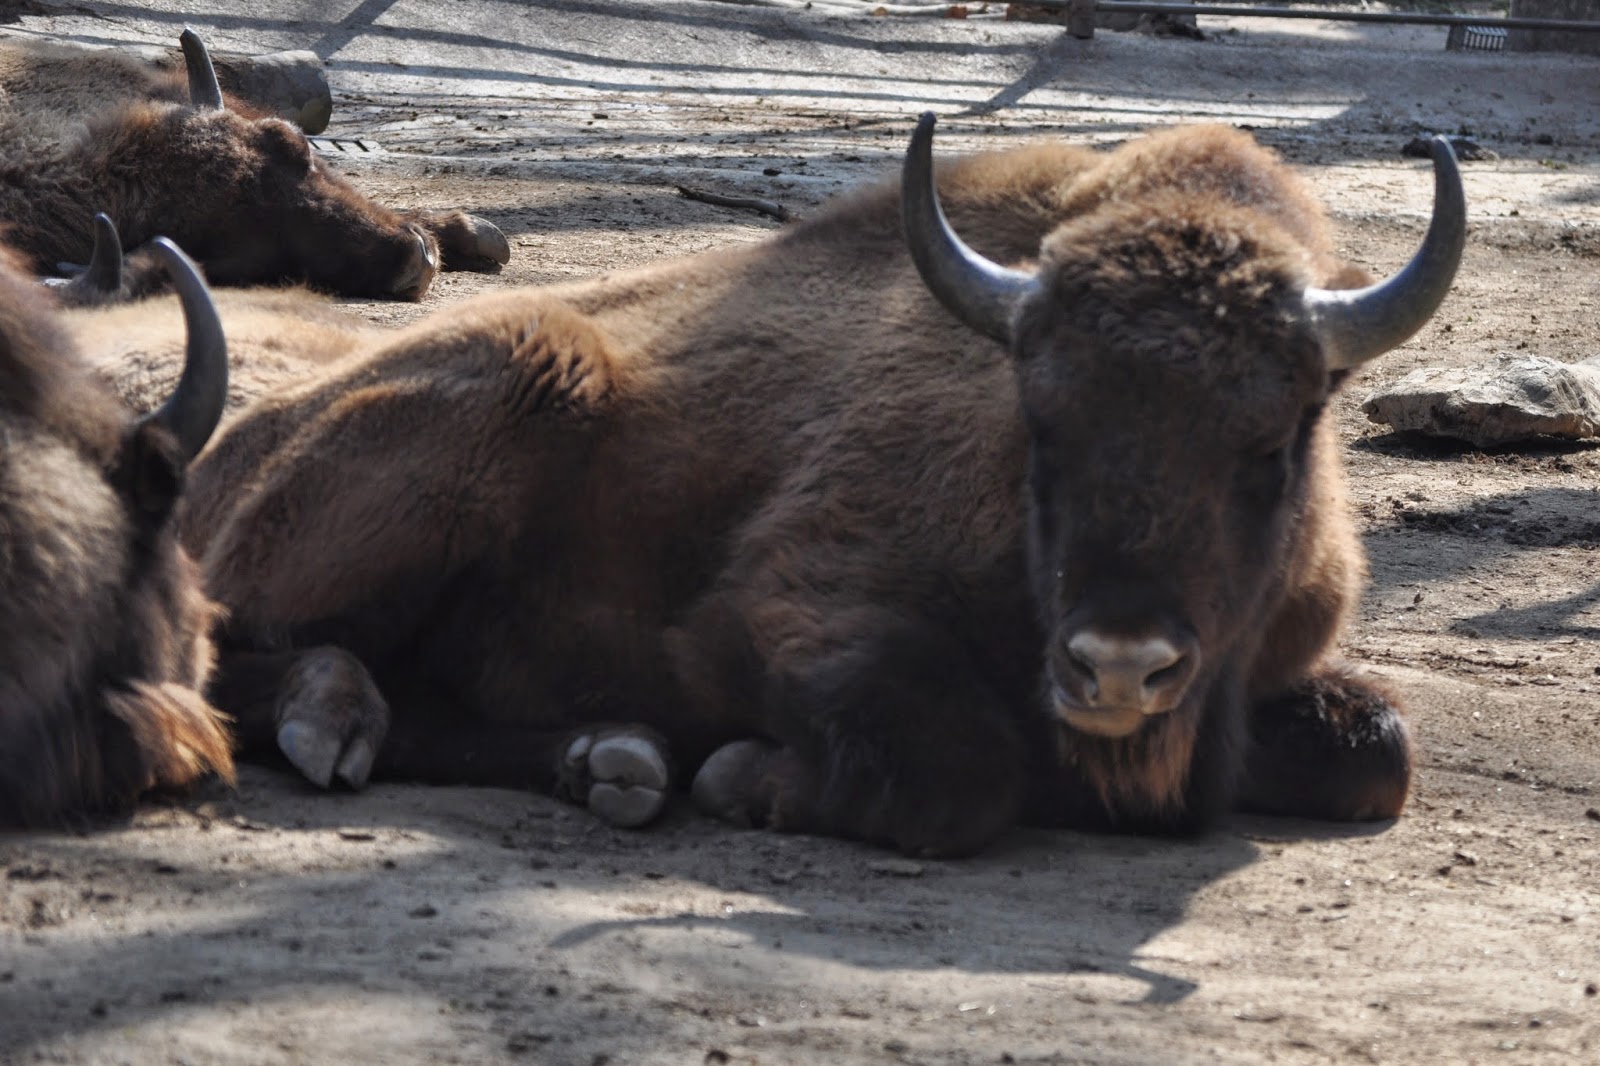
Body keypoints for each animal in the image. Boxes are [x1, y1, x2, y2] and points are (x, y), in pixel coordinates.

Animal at [85, 118, 1463, 856]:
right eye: (1041, 417)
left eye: (1274, 438)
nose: (1119, 664)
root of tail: (231, 441)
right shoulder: (786, 605)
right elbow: (956, 772)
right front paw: (744, 776)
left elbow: (1382, 751)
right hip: (515, 371)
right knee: (230, 649)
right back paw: (343, 717)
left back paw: (612, 759)